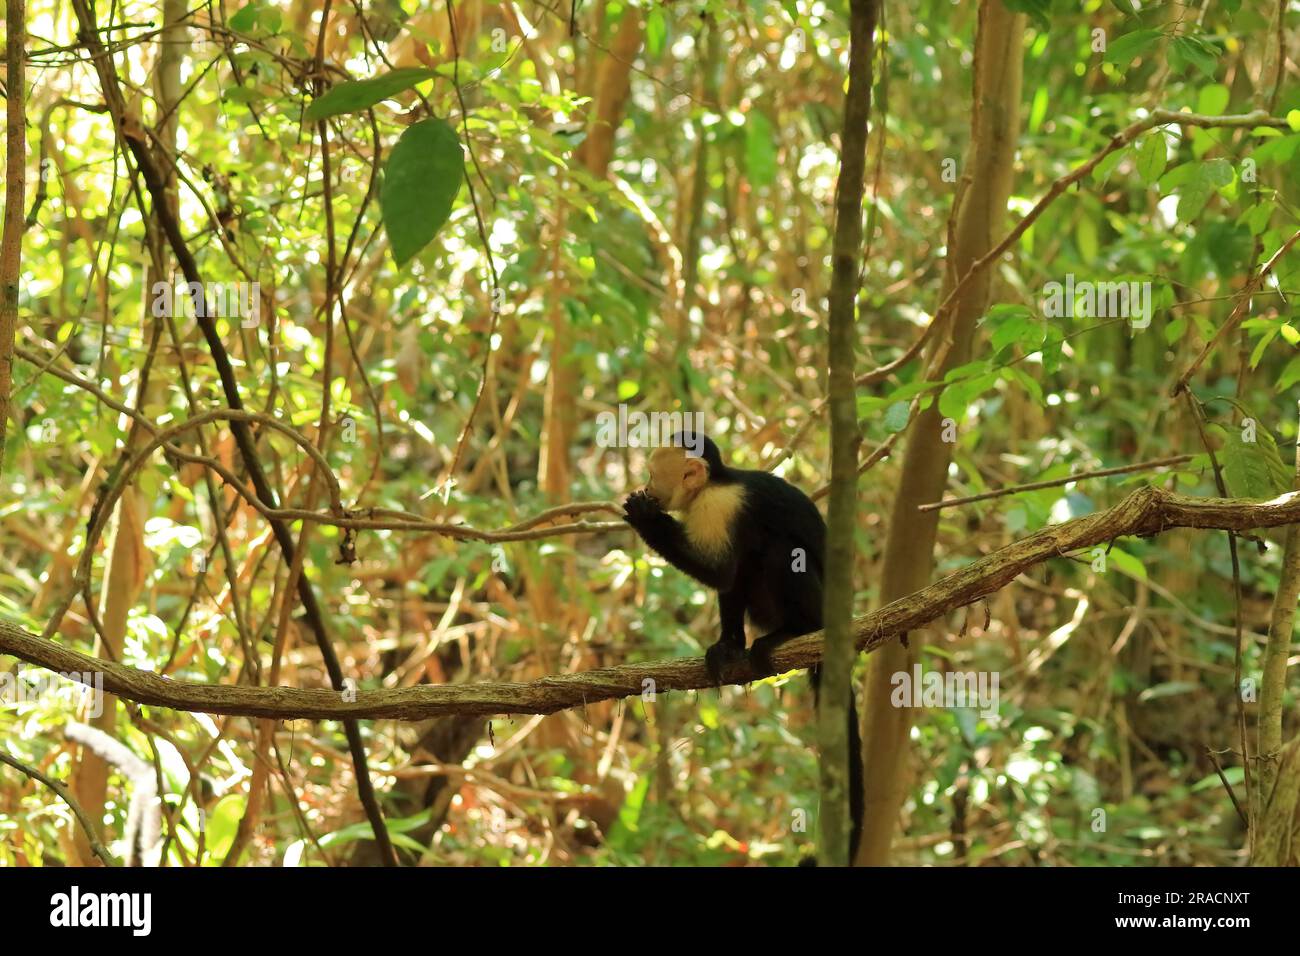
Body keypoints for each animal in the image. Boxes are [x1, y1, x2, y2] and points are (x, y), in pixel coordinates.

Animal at [621, 431, 863, 861]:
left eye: (652, 473)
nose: (647, 487)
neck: (714, 483)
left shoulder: (719, 506)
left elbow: (717, 569)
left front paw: (644, 516)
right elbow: (726, 576)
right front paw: (727, 645)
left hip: (818, 605)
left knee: (777, 552)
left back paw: (793, 631)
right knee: (745, 565)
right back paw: (731, 646)